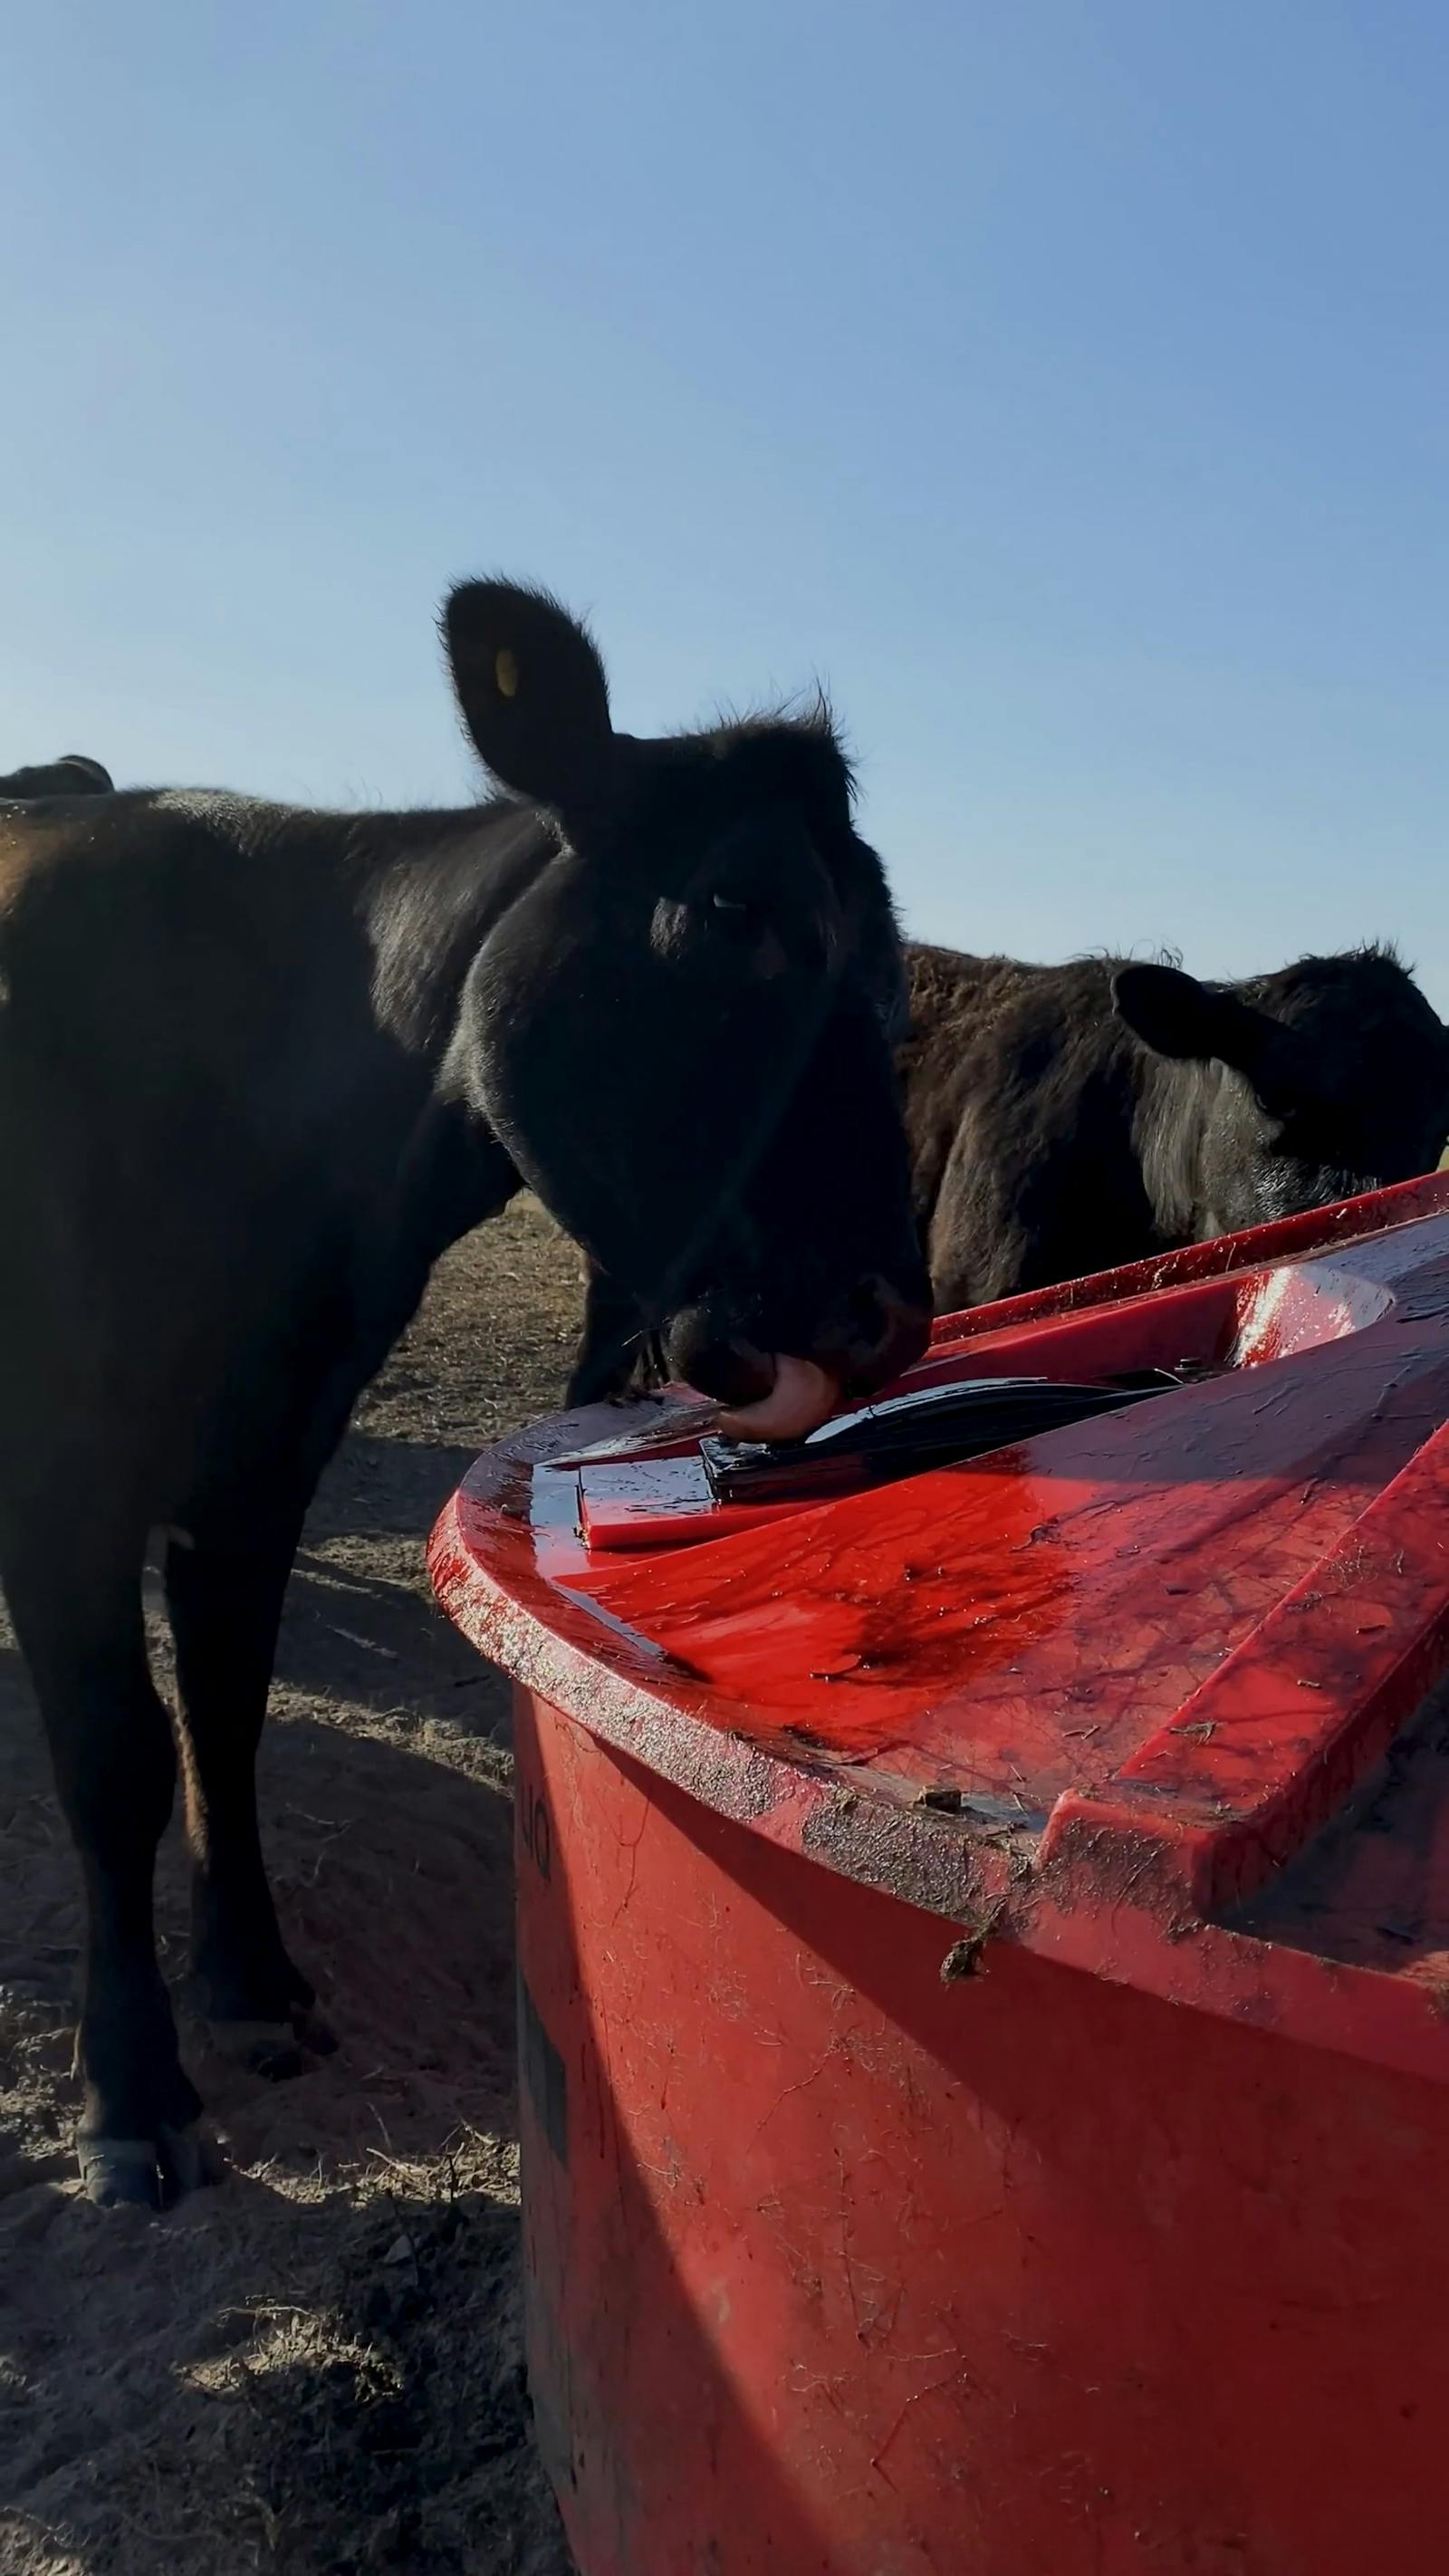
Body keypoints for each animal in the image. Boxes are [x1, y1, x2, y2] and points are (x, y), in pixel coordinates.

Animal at [0, 579, 930, 2207]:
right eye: (735, 910)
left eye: (893, 960)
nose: (888, 1311)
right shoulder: (59, 1463)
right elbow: (117, 1757)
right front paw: (135, 2088)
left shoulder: (271, 1446)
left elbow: (224, 1706)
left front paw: (253, 1980)